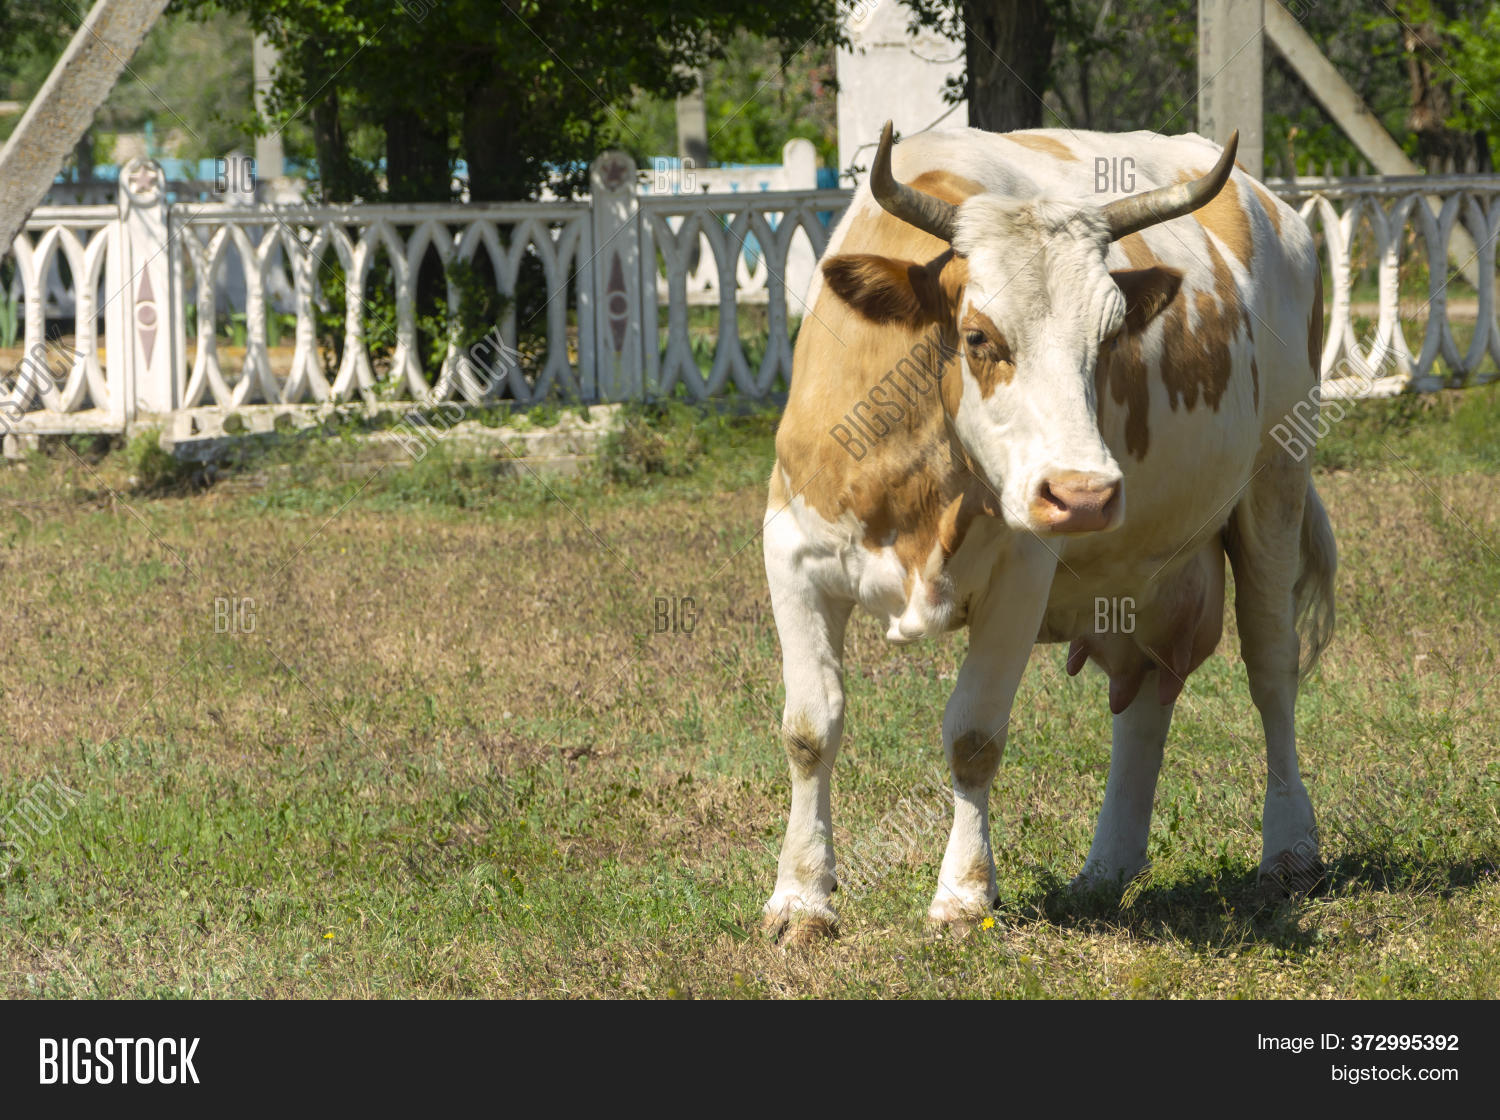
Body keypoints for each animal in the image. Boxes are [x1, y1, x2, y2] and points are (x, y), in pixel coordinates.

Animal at [761, 121, 1337, 941]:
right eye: (977, 336)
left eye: (1110, 339)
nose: (1085, 495)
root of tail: (1270, 205)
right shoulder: (793, 552)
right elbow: (811, 728)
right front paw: (801, 898)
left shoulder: (1020, 575)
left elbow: (974, 735)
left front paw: (964, 894)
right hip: (1145, 568)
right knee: (1148, 694)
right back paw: (1109, 866)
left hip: (1275, 485)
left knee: (1271, 670)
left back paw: (1289, 847)